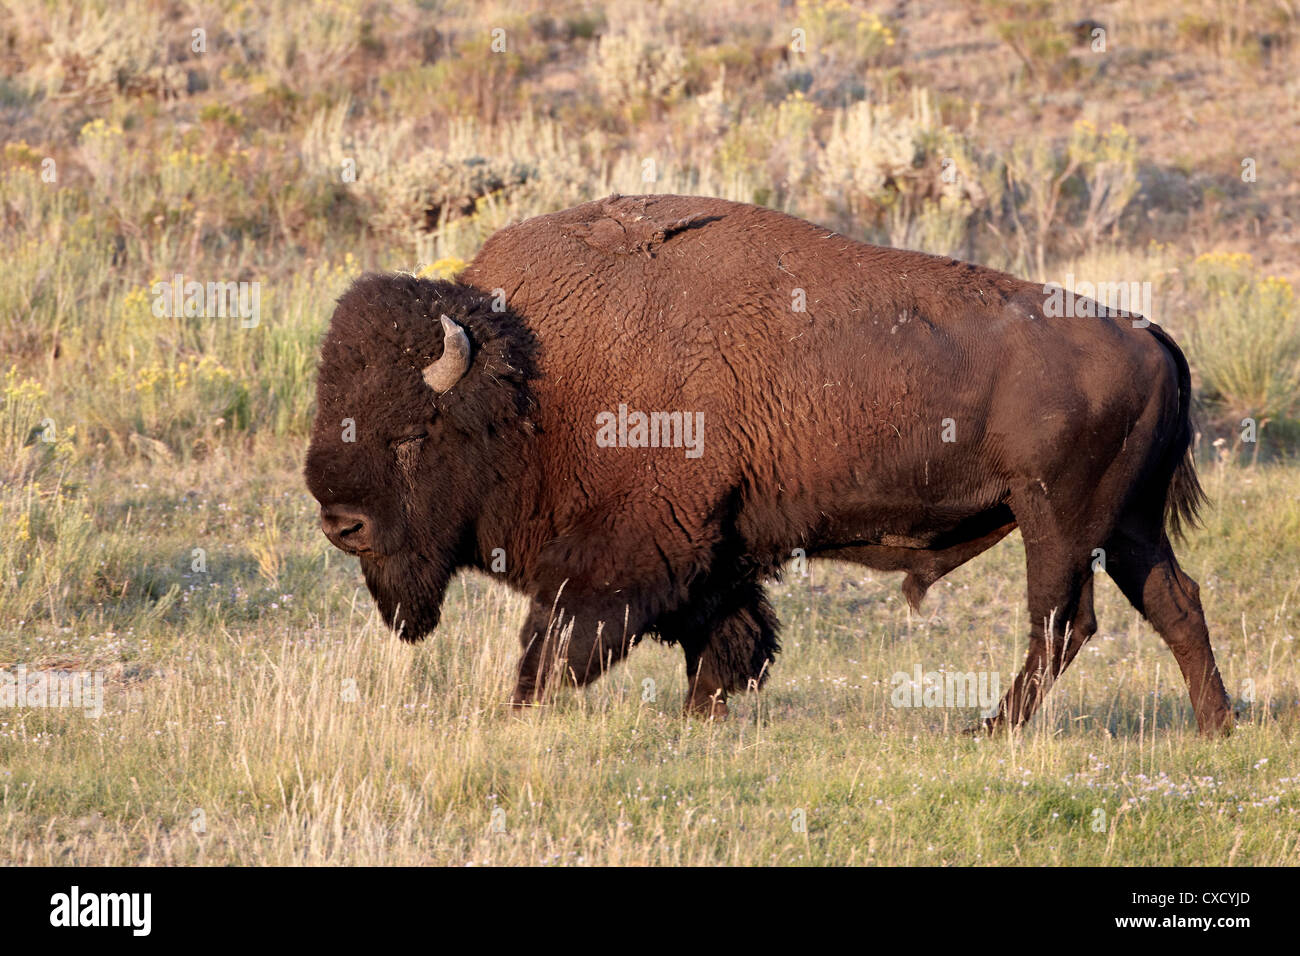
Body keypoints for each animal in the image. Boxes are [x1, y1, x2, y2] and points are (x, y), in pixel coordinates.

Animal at [304, 194, 1232, 735]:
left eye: (411, 433)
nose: (340, 523)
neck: (536, 376)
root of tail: (1147, 332)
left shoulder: (633, 549)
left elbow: (560, 641)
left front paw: (524, 714)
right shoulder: (712, 545)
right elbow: (730, 632)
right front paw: (704, 714)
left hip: (1059, 521)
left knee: (1063, 623)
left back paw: (990, 729)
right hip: (1125, 523)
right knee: (1174, 602)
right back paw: (1217, 724)